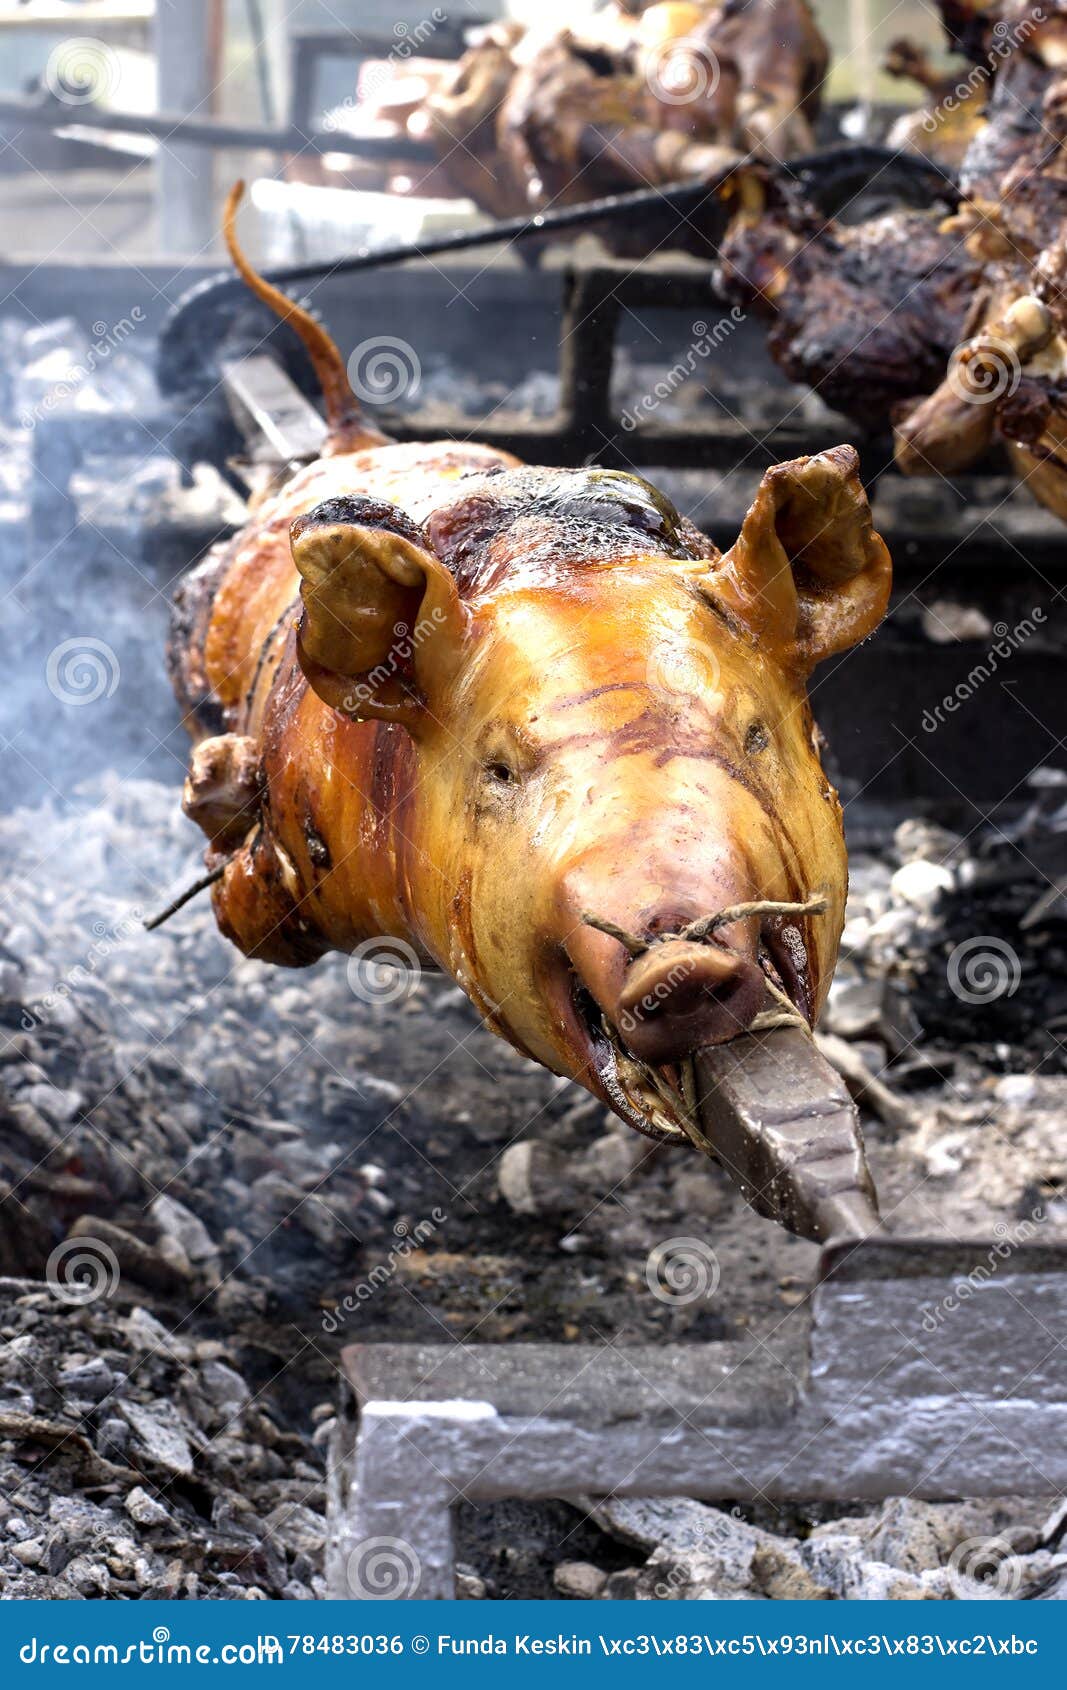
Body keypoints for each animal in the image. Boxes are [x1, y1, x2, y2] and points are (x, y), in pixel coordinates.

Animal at [169, 185, 891, 1147]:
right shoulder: (289, 874)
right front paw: (214, 792)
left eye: (755, 734)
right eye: (499, 769)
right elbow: (240, 912)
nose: (681, 957)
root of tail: (347, 441)